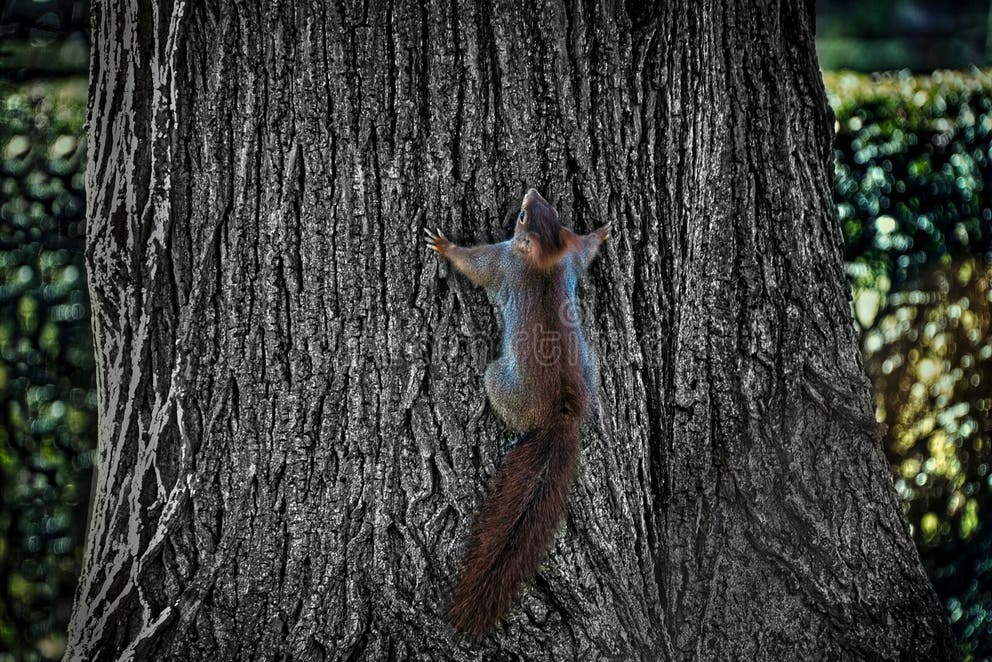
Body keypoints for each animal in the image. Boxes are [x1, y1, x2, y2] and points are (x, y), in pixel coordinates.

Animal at [425, 188, 610, 635]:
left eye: (524, 217)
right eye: (549, 210)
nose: (531, 193)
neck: (545, 257)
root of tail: (559, 417)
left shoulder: (502, 263)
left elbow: (475, 265)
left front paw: (446, 246)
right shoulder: (571, 255)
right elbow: (586, 249)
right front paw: (603, 233)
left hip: (499, 382)